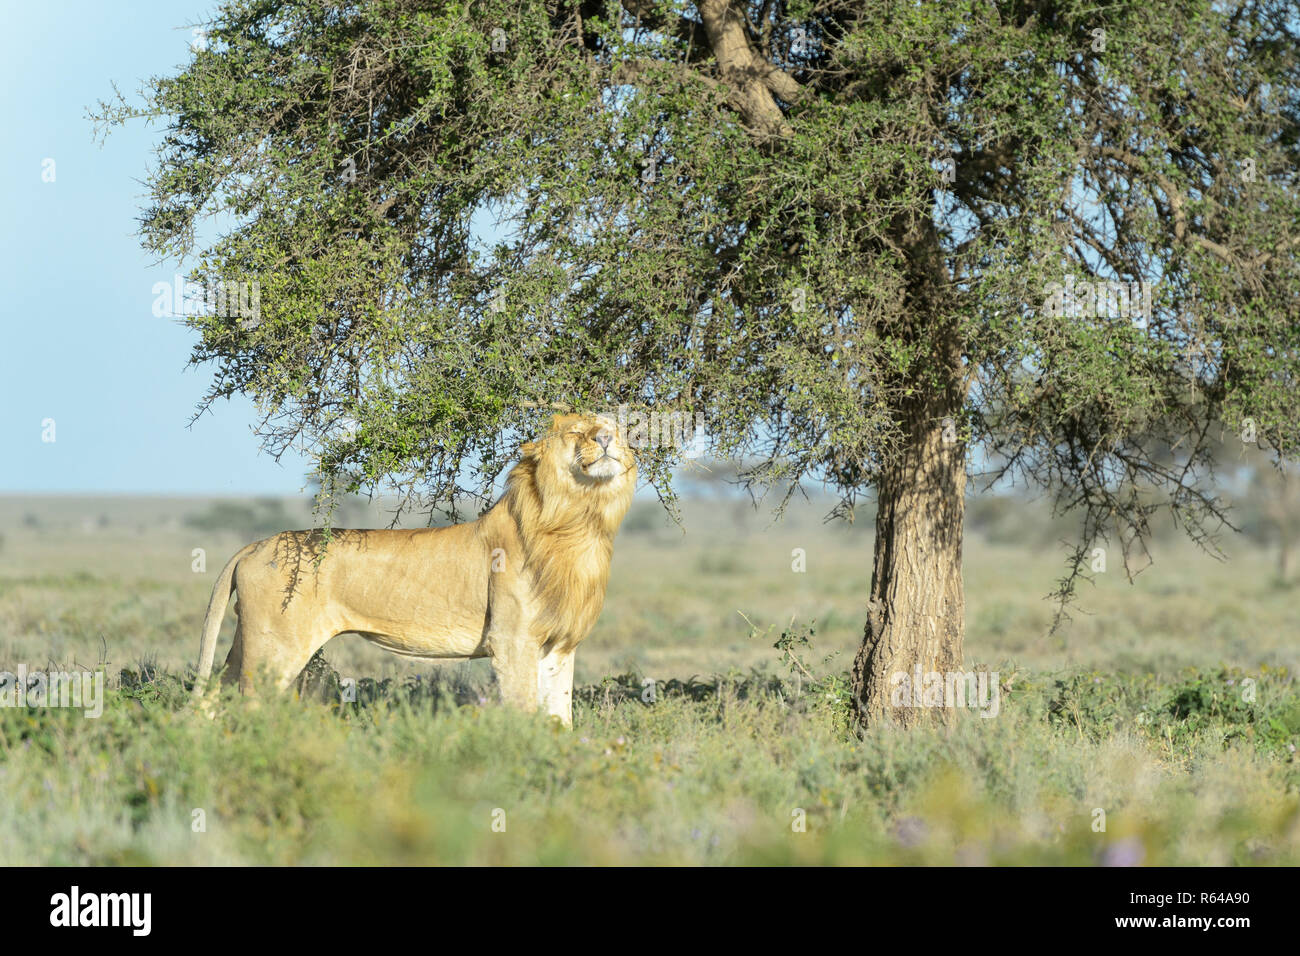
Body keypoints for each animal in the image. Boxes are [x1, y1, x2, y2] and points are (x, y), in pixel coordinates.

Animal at [193, 413, 636, 726]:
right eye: (577, 430)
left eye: (614, 427)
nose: (605, 438)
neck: (581, 520)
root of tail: (256, 544)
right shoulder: (512, 641)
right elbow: (525, 713)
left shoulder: (557, 647)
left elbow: (560, 717)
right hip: (275, 649)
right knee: (246, 707)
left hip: (248, 643)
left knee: (212, 698)